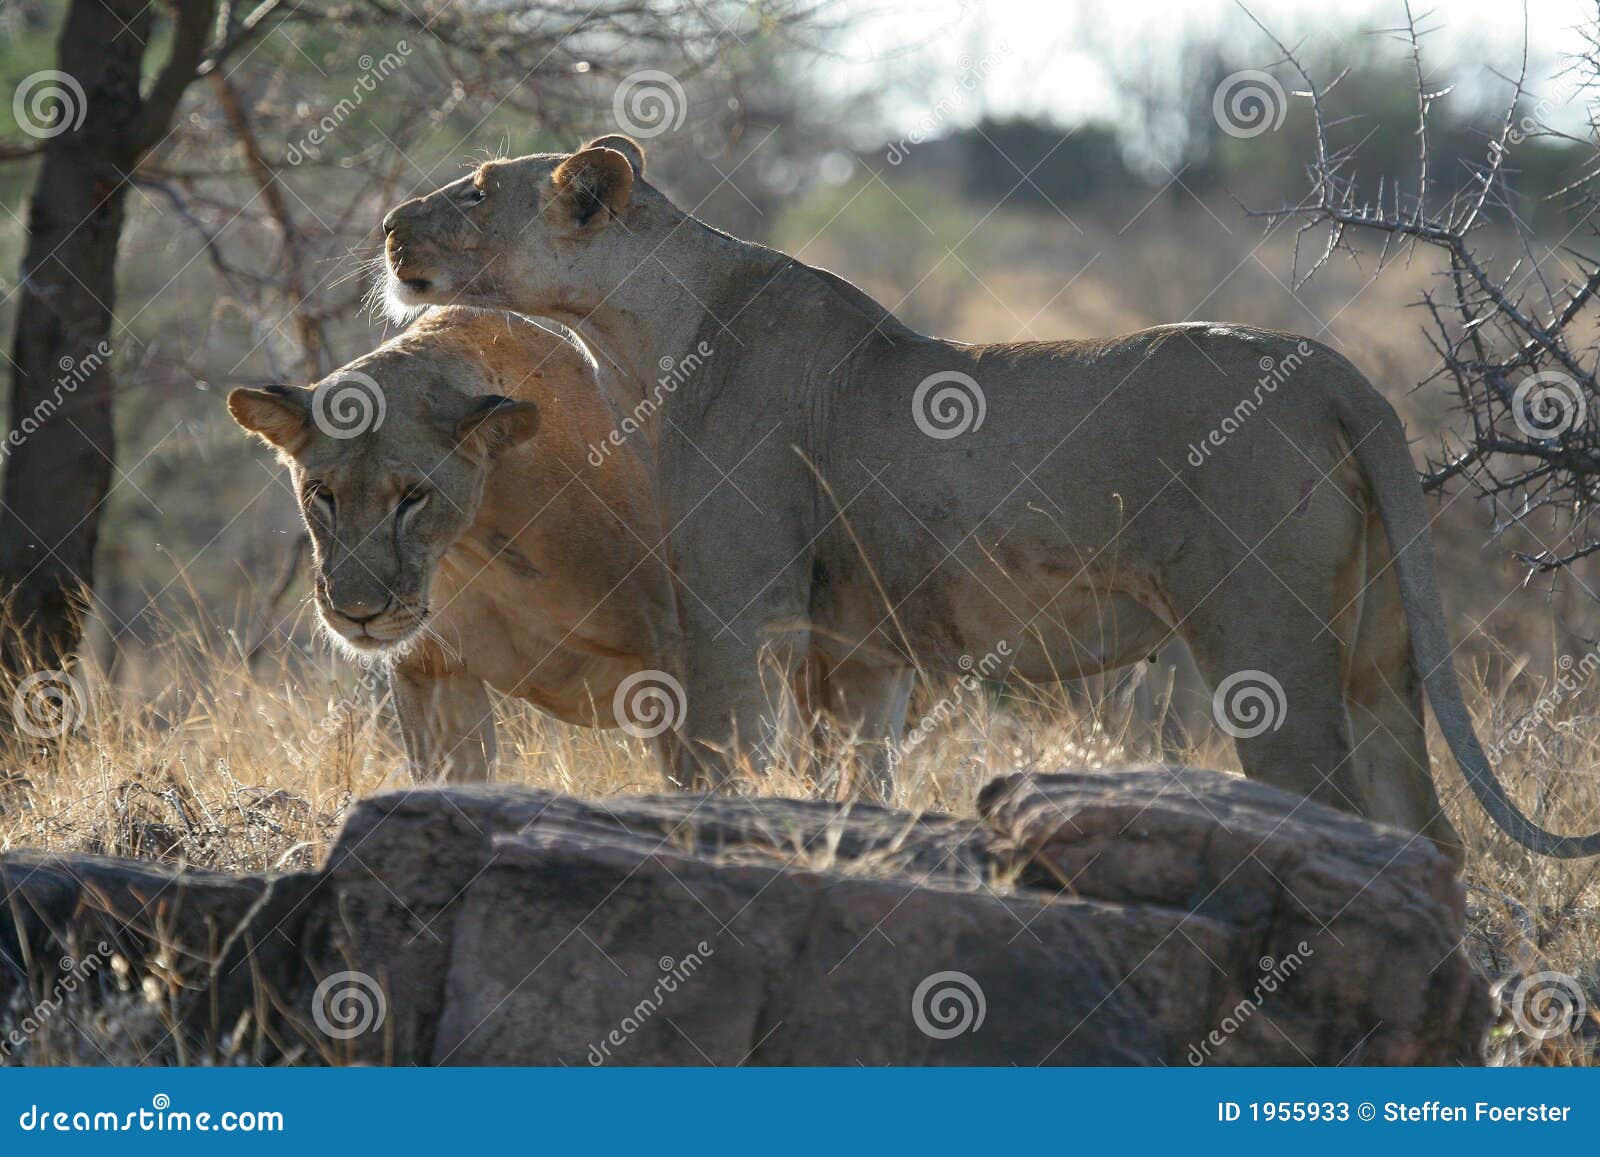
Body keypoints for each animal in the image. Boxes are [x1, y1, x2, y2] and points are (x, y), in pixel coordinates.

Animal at [227, 306, 913, 785]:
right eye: (322, 494)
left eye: (413, 497)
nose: (358, 614)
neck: (473, 540)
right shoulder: (432, 674)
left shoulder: (677, 663)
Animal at [376, 135, 1600, 859]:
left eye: (477, 191)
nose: (388, 228)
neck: (636, 332)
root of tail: (1339, 375)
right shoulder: (857, 652)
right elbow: (849, 786)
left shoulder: (737, 612)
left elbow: (723, 761)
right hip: (1379, 646)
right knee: (1425, 824)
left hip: (1264, 635)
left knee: (1337, 813)